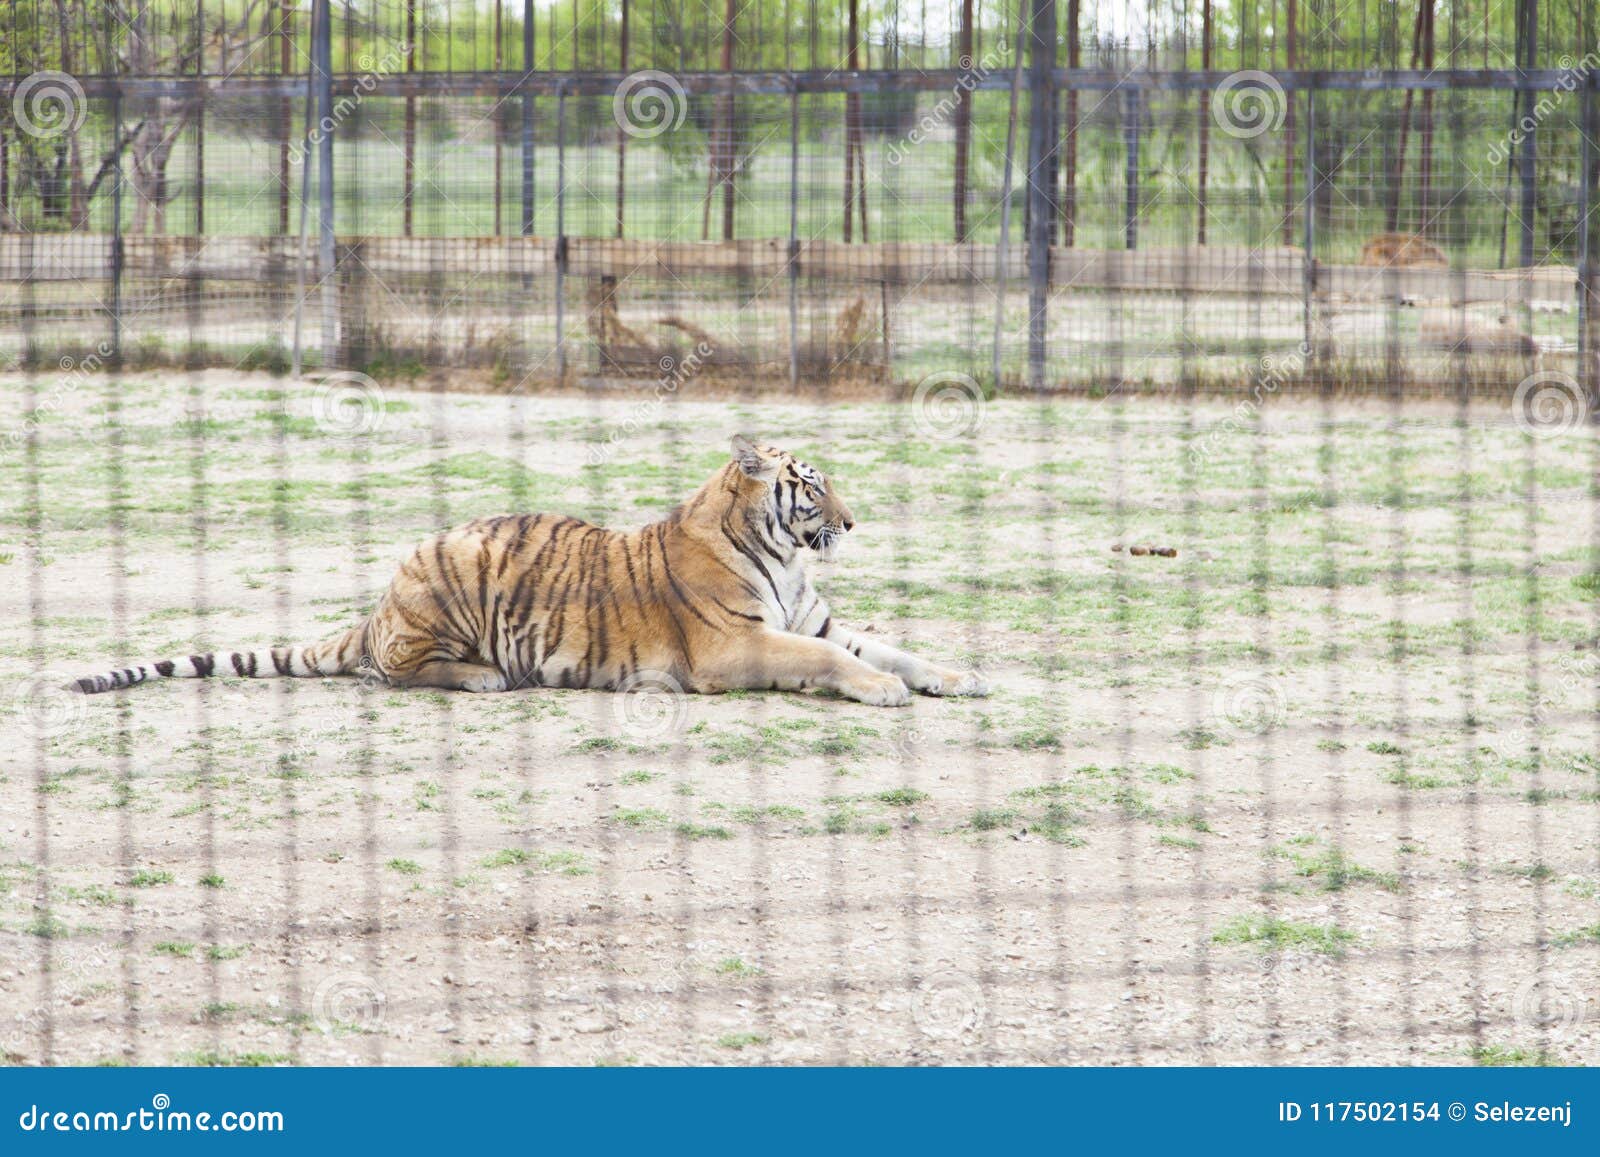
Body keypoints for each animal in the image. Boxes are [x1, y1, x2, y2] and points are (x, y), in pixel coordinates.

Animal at [68, 436, 989, 707]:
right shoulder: (737, 647)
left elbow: (893, 644)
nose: (852, 522)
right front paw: (884, 691)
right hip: (451, 573)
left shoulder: (812, 620)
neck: (783, 556)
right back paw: (479, 677)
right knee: (392, 668)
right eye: (814, 486)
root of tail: (376, 604)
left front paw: (959, 675)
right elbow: (834, 662)